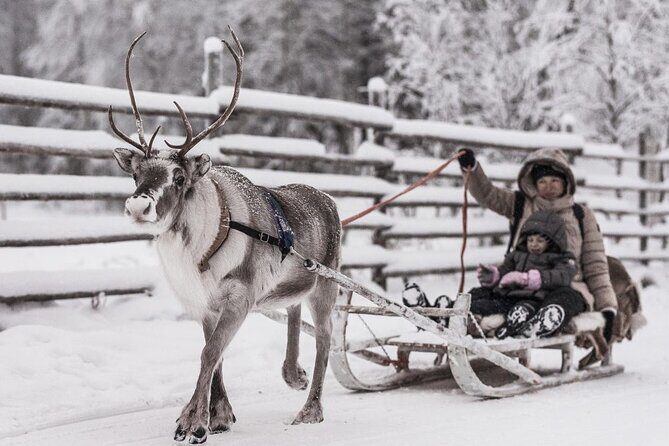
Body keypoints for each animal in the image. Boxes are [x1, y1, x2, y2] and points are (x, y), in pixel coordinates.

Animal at [109, 28, 341, 444]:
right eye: (136, 174)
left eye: (179, 177)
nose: (138, 206)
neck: (199, 250)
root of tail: (329, 200)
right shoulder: (205, 304)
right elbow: (214, 354)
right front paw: (219, 416)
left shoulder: (240, 296)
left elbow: (209, 353)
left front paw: (192, 422)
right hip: (295, 280)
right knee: (294, 307)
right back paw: (292, 373)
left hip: (326, 283)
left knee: (326, 336)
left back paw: (310, 408)